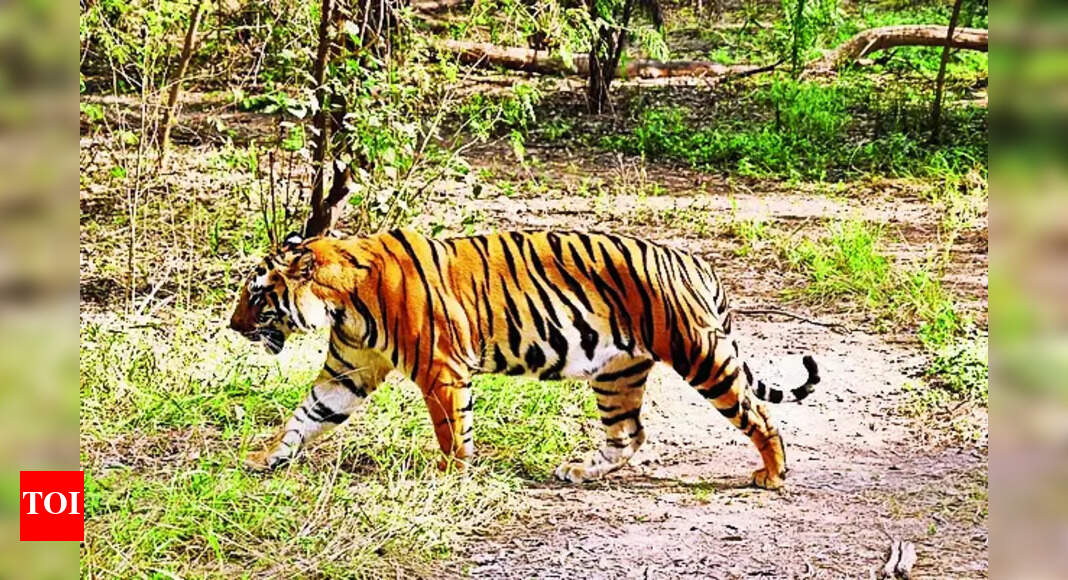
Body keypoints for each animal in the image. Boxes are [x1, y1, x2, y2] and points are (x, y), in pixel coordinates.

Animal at [229, 229, 819, 489]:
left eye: (256, 296)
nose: (233, 326)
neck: (342, 301)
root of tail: (696, 260)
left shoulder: (442, 370)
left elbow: (451, 430)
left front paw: (449, 475)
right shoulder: (348, 370)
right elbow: (307, 415)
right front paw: (262, 459)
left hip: (701, 355)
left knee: (758, 413)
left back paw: (773, 474)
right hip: (617, 372)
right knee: (628, 434)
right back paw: (580, 471)